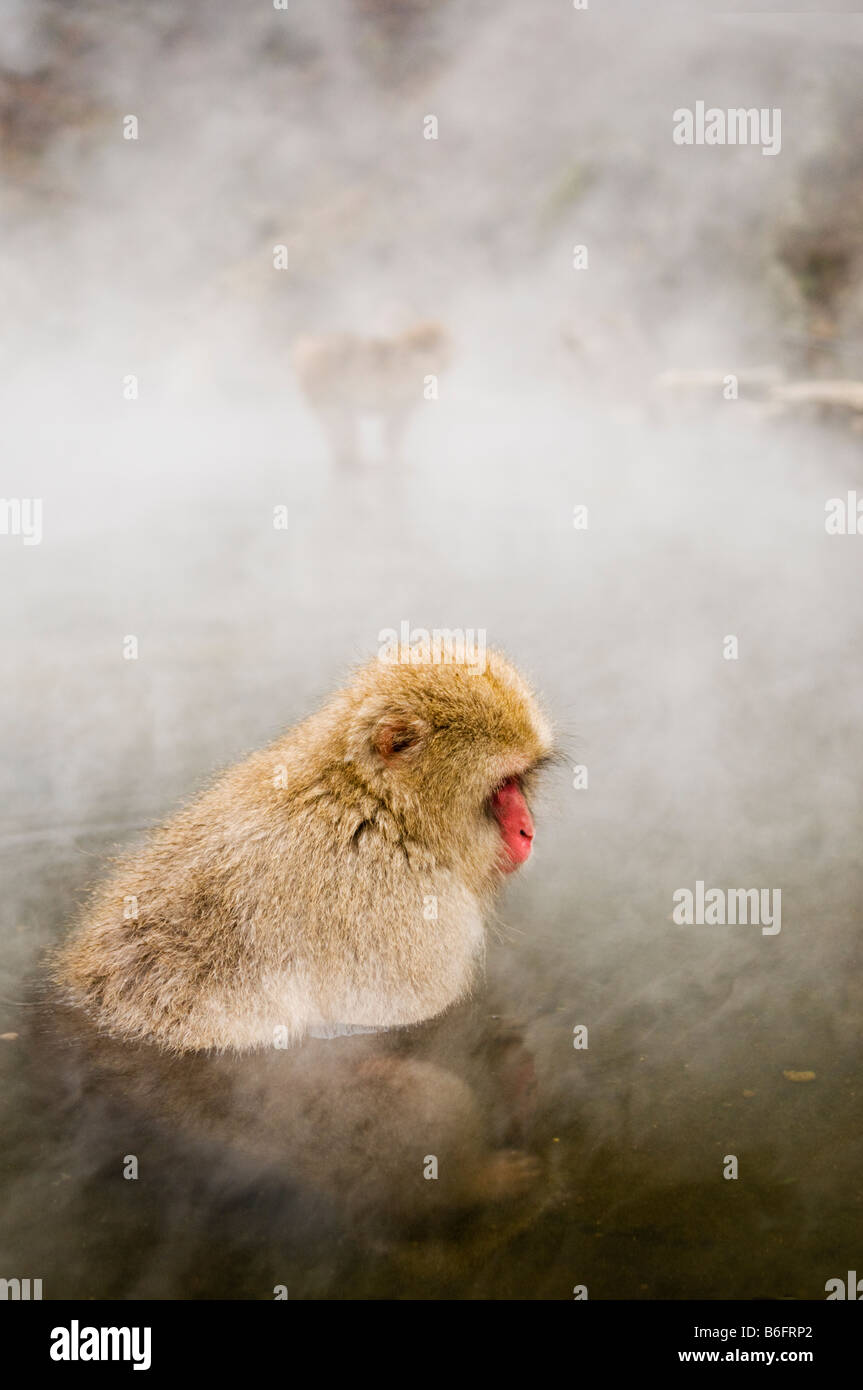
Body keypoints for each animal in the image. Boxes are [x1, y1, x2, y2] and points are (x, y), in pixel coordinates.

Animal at [292, 321, 451, 468]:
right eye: (429, 346)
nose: (437, 361)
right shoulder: (403, 397)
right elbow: (394, 426)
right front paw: (397, 462)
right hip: (326, 390)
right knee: (340, 422)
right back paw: (353, 460)